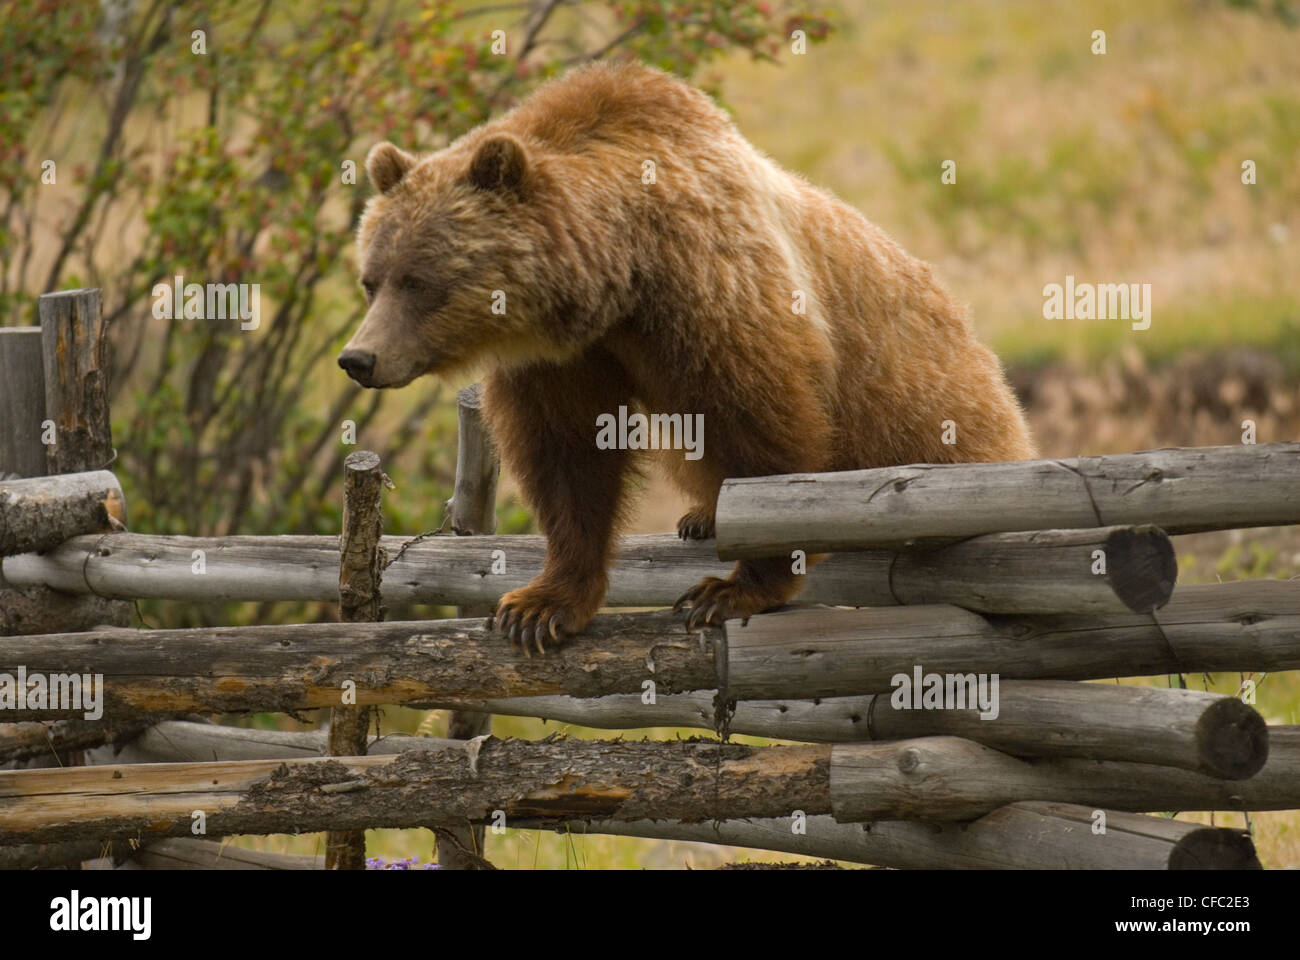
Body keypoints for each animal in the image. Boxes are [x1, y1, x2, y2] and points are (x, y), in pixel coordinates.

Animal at [339, 61, 1035, 654]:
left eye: (419, 281)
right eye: (371, 278)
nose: (358, 358)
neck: (622, 273)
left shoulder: (713, 298)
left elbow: (765, 433)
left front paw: (730, 589)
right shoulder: (562, 358)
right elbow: (567, 456)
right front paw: (539, 607)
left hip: (935, 413)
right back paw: (700, 515)